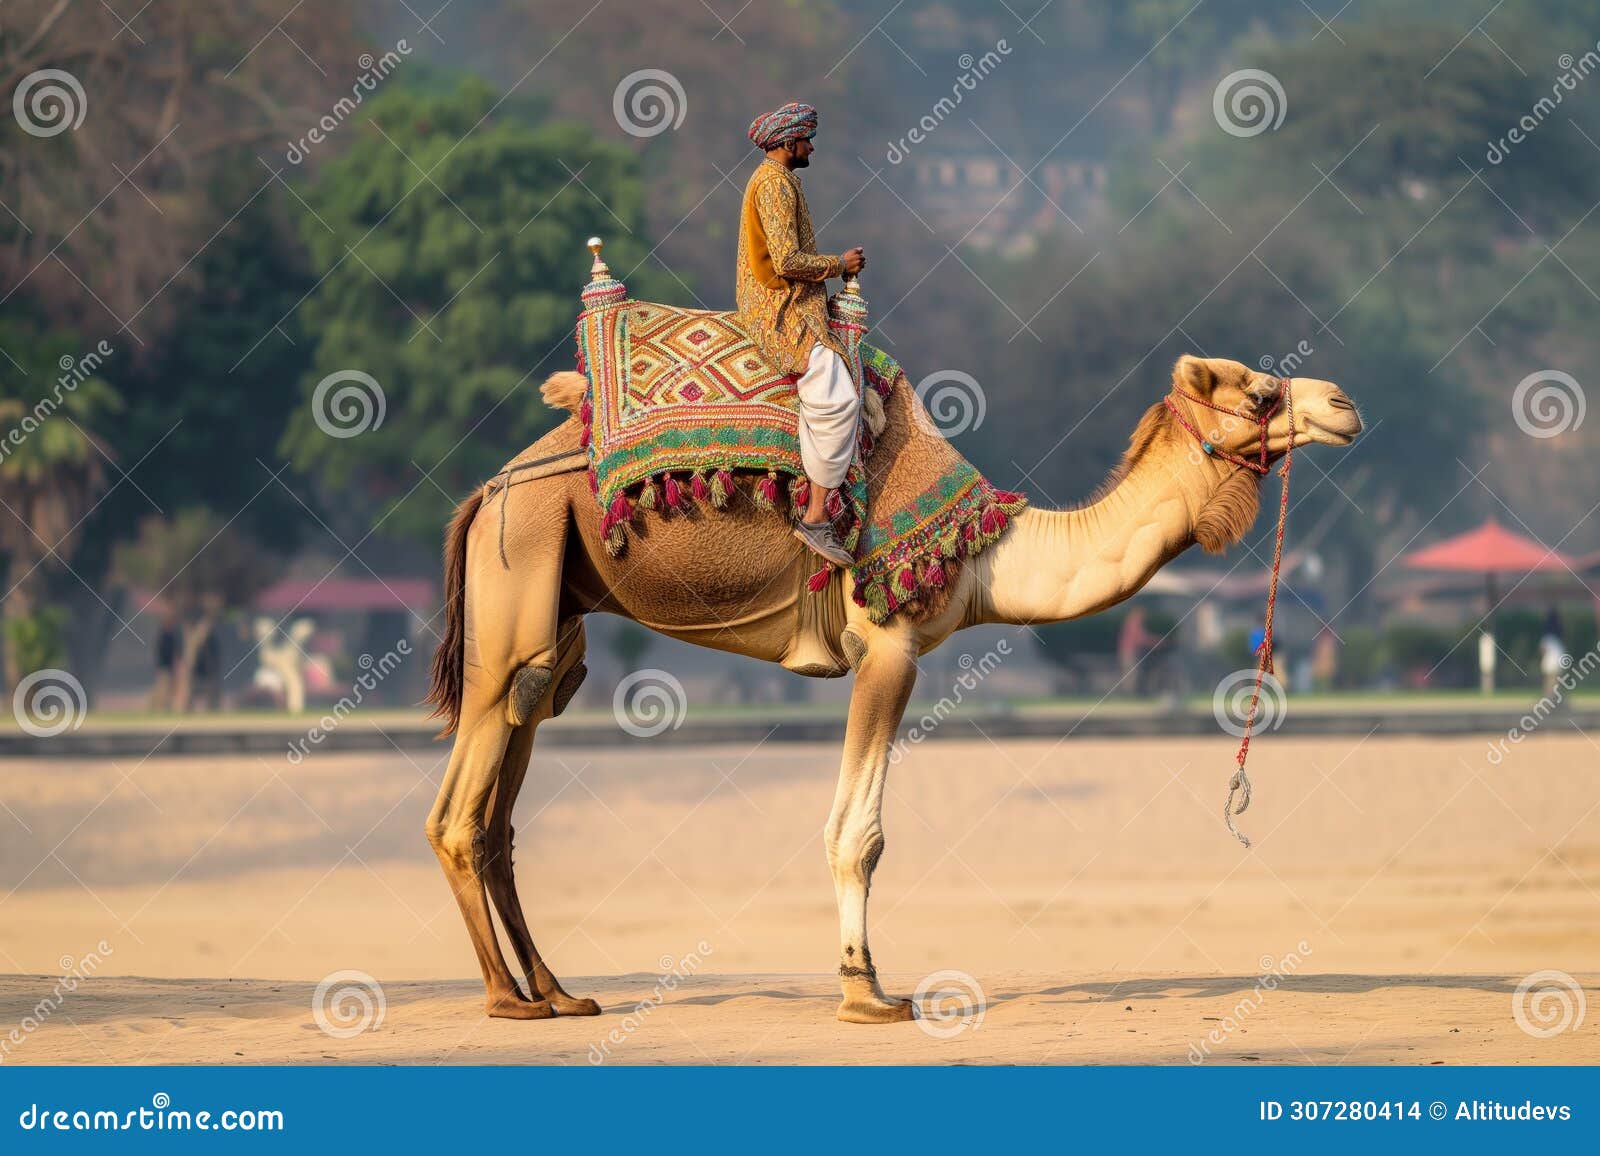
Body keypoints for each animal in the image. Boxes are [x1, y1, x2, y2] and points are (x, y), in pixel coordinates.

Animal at [422, 348, 1362, 1024]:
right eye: (1260, 395)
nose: (1344, 404)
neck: (985, 553)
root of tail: (483, 492)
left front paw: (864, 981)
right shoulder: (889, 646)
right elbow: (858, 836)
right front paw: (866, 992)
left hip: (557, 621)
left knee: (511, 783)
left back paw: (557, 992)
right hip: (517, 575)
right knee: (458, 812)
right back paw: (508, 1001)